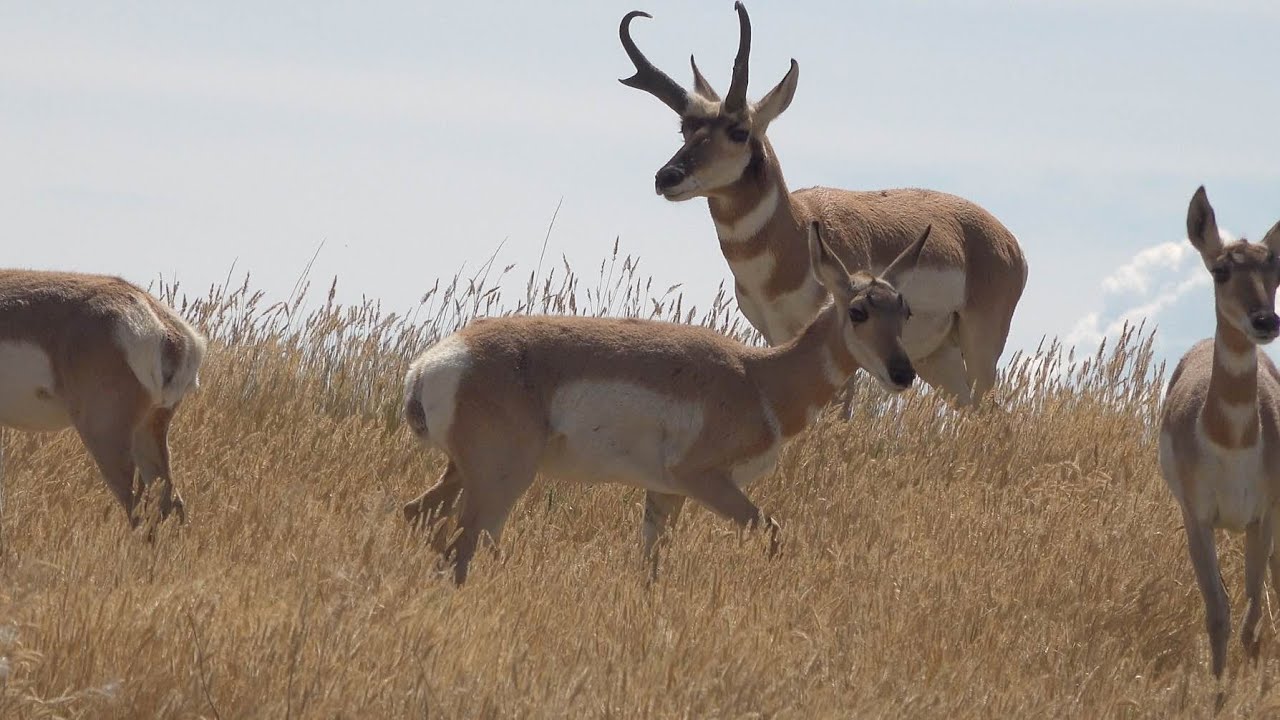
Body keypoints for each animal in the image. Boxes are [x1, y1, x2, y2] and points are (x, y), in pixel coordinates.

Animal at [402, 223, 927, 585]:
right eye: (858, 311)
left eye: (904, 309)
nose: (904, 374)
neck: (758, 376)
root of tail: (432, 363)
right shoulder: (704, 481)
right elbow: (773, 531)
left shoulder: (664, 495)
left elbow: (651, 567)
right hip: (501, 480)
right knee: (460, 545)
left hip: (463, 473)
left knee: (416, 514)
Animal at [618, 2, 1027, 405]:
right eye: (685, 128)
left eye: (739, 131)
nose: (666, 177)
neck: (796, 229)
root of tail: (1007, 241)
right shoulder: (779, 333)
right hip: (935, 358)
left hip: (980, 344)